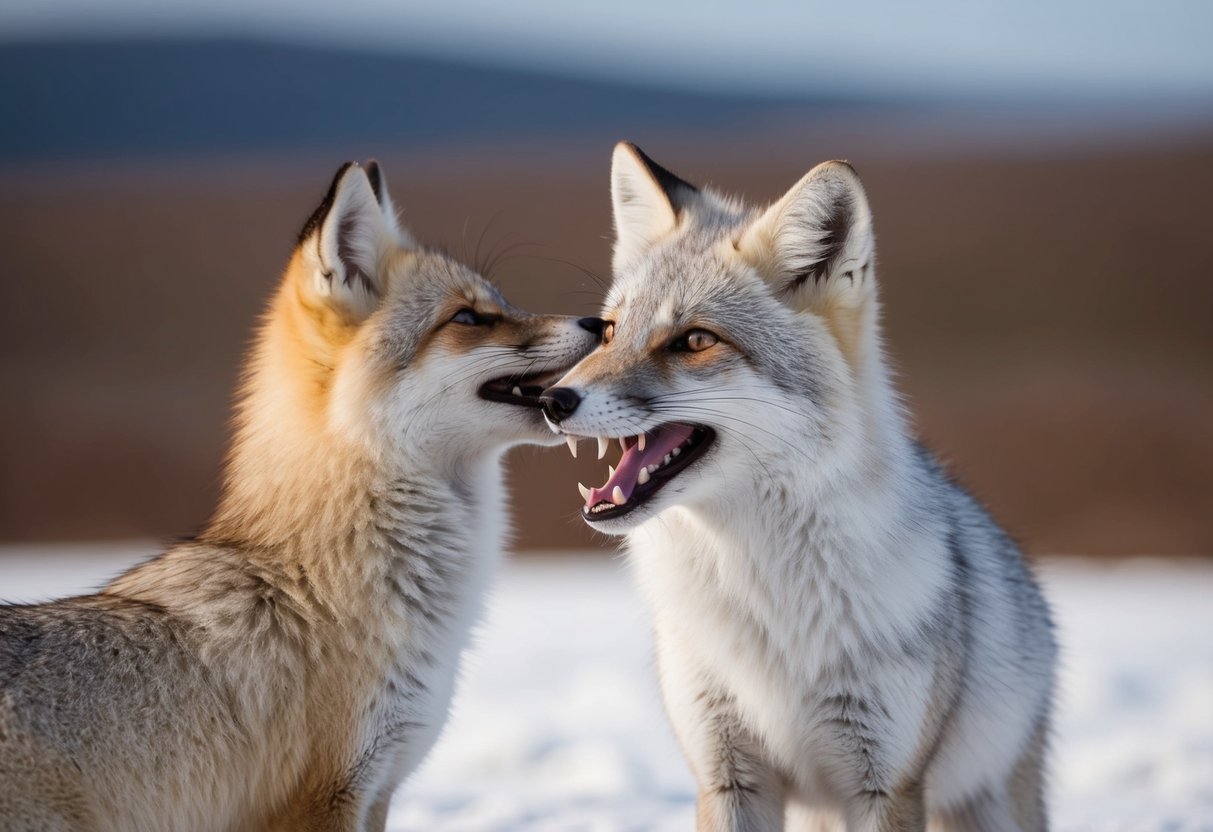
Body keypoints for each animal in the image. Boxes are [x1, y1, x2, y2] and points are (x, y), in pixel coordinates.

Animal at [540, 143, 1058, 831]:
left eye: (695, 340)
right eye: (607, 331)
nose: (552, 400)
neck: (764, 597)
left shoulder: (886, 783)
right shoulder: (727, 771)